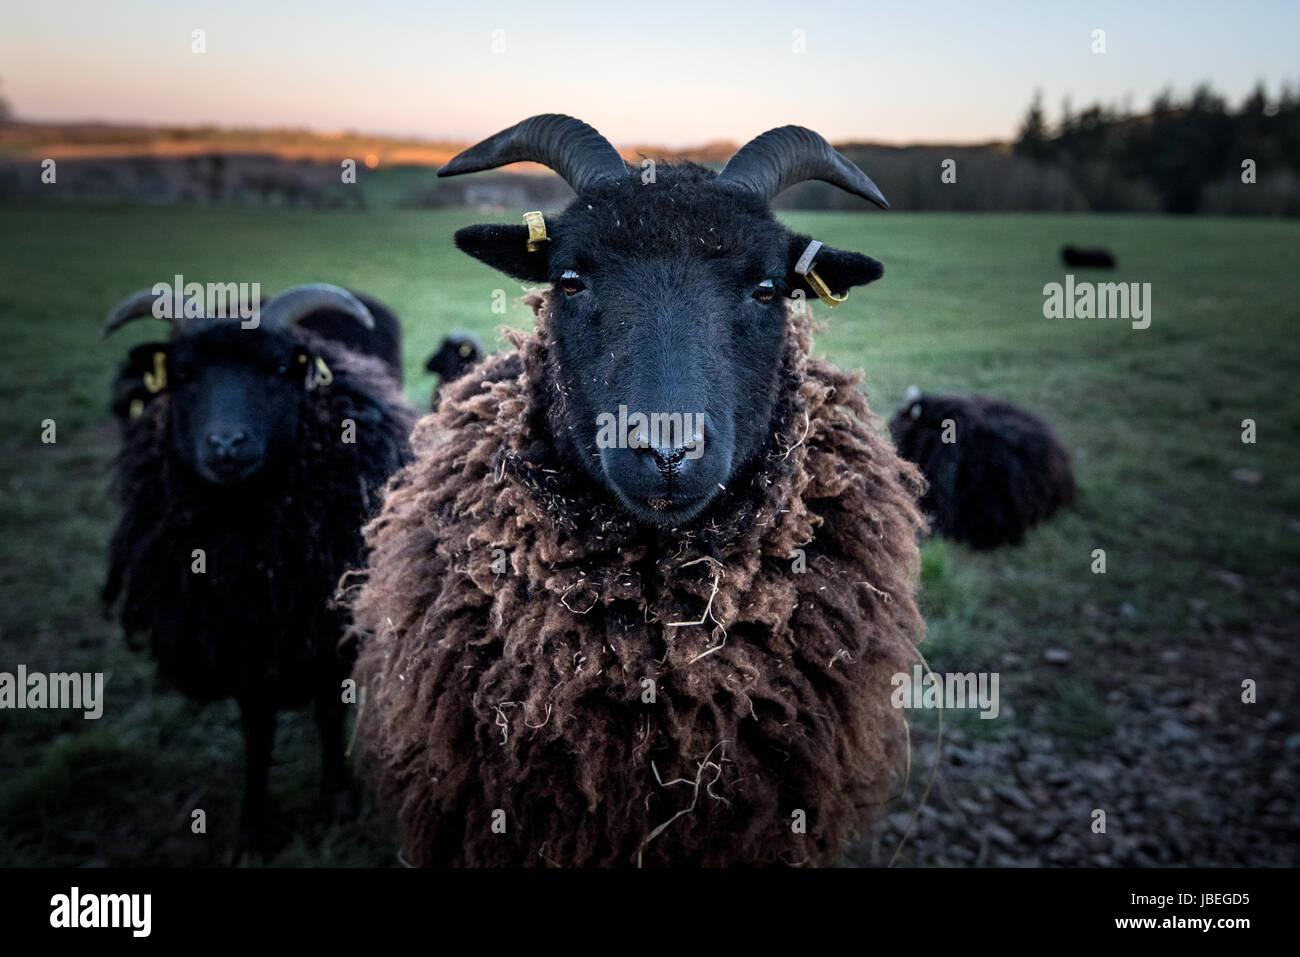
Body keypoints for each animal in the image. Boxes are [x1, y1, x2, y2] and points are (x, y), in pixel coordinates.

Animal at [100, 283, 415, 856]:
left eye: (277, 369)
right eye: (183, 375)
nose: (227, 444)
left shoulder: (326, 626)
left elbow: (329, 712)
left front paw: (337, 806)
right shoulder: (235, 638)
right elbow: (256, 728)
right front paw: (252, 829)